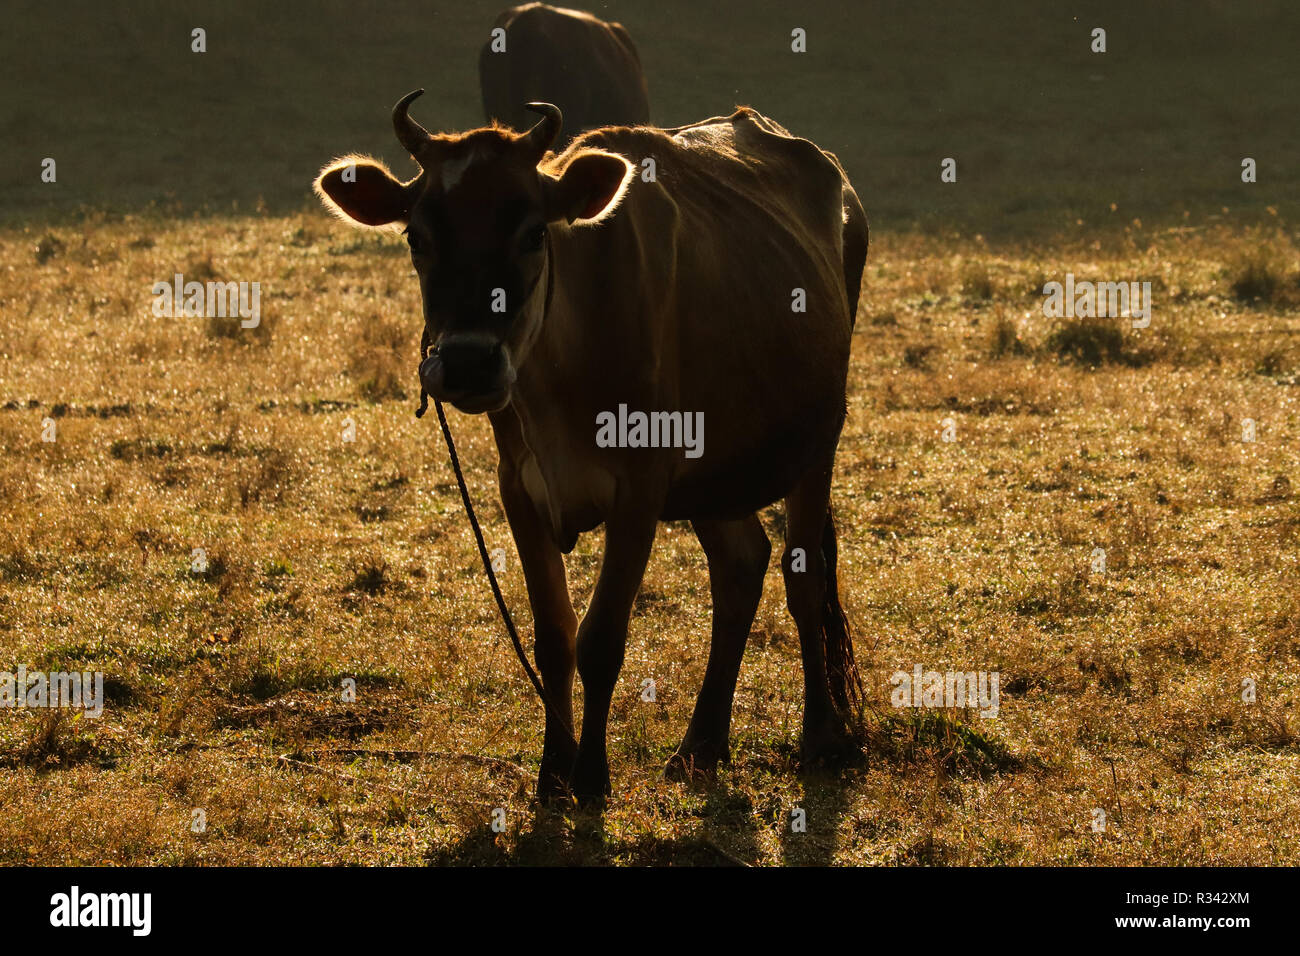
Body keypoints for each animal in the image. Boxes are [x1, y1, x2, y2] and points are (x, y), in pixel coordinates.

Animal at [314, 90, 869, 805]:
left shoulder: (641, 484)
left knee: (804, 578)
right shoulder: (519, 487)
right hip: (715, 474)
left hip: (818, 440)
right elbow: (553, 634)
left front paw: (592, 775)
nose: (466, 363)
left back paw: (821, 735)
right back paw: (702, 744)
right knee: (741, 565)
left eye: (532, 233)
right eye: (417, 236)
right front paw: (553, 770)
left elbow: (601, 637)